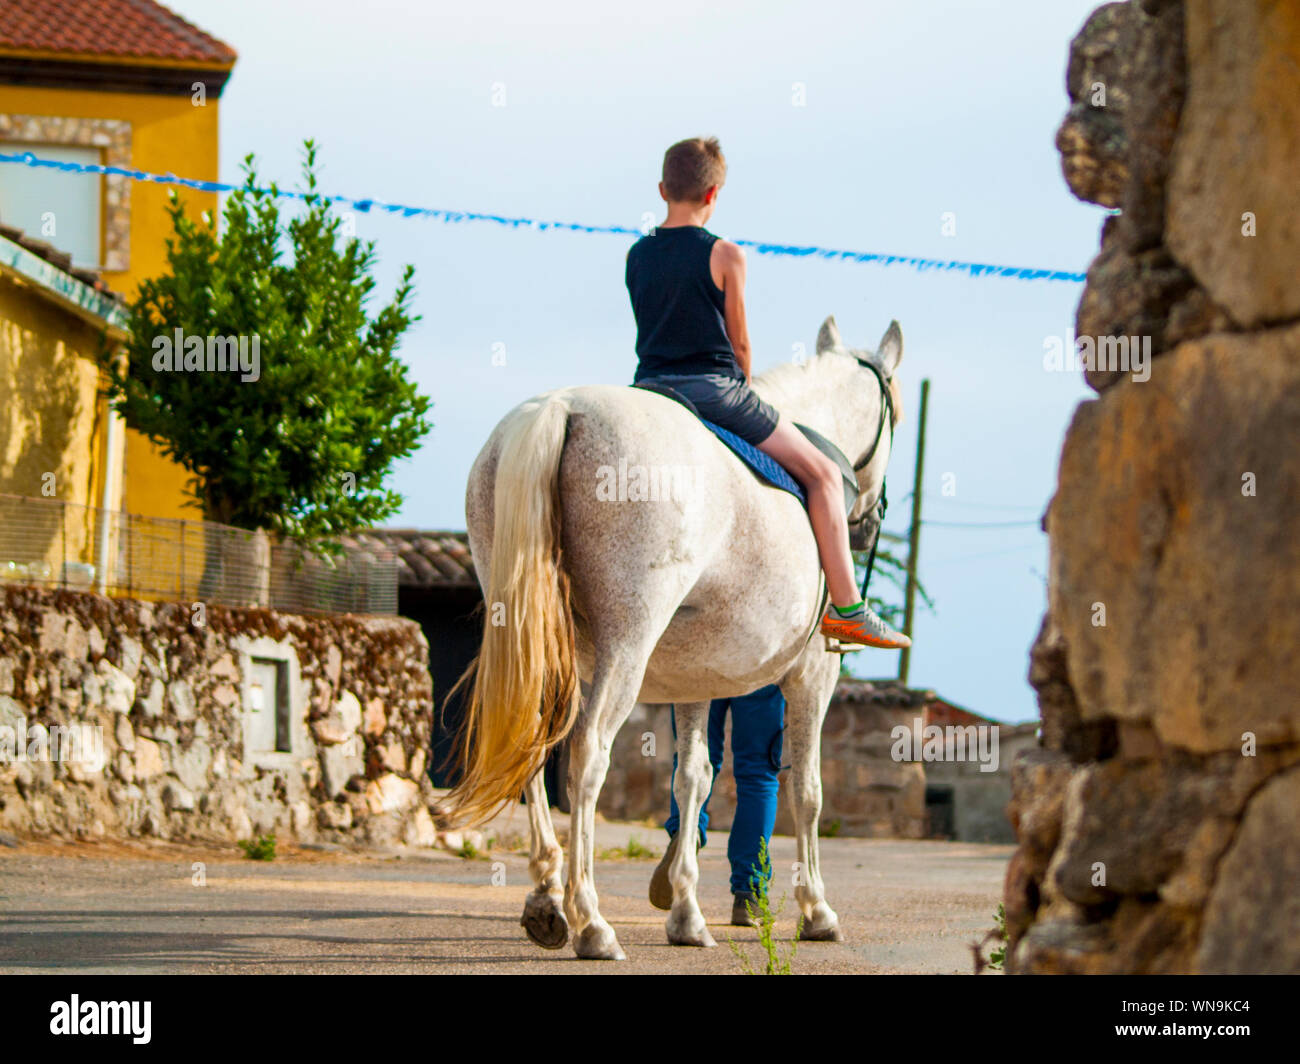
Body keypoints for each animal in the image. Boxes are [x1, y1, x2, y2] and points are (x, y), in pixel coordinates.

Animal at [448, 315, 904, 959]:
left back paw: (545, 902)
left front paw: (686, 911)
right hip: (626, 647)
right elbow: (808, 793)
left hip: (532, 644)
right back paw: (591, 920)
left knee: (531, 746)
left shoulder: (696, 677)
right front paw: (816, 909)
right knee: (587, 754)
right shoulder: (814, 674)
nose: (866, 525)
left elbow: (694, 778)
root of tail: (561, 408)